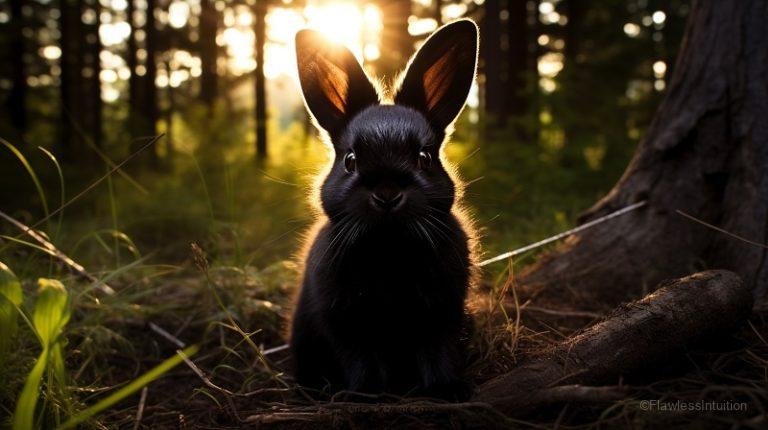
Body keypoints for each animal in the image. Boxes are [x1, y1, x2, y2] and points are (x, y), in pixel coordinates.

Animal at [289, 19, 479, 400]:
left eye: (424, 158)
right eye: (350, 160)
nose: (387, 194)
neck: (389, 247)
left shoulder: (442, 314)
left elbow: (437, 351)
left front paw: (447, 390)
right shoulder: (346, 323)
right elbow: (361, 359)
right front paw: (364, 394)